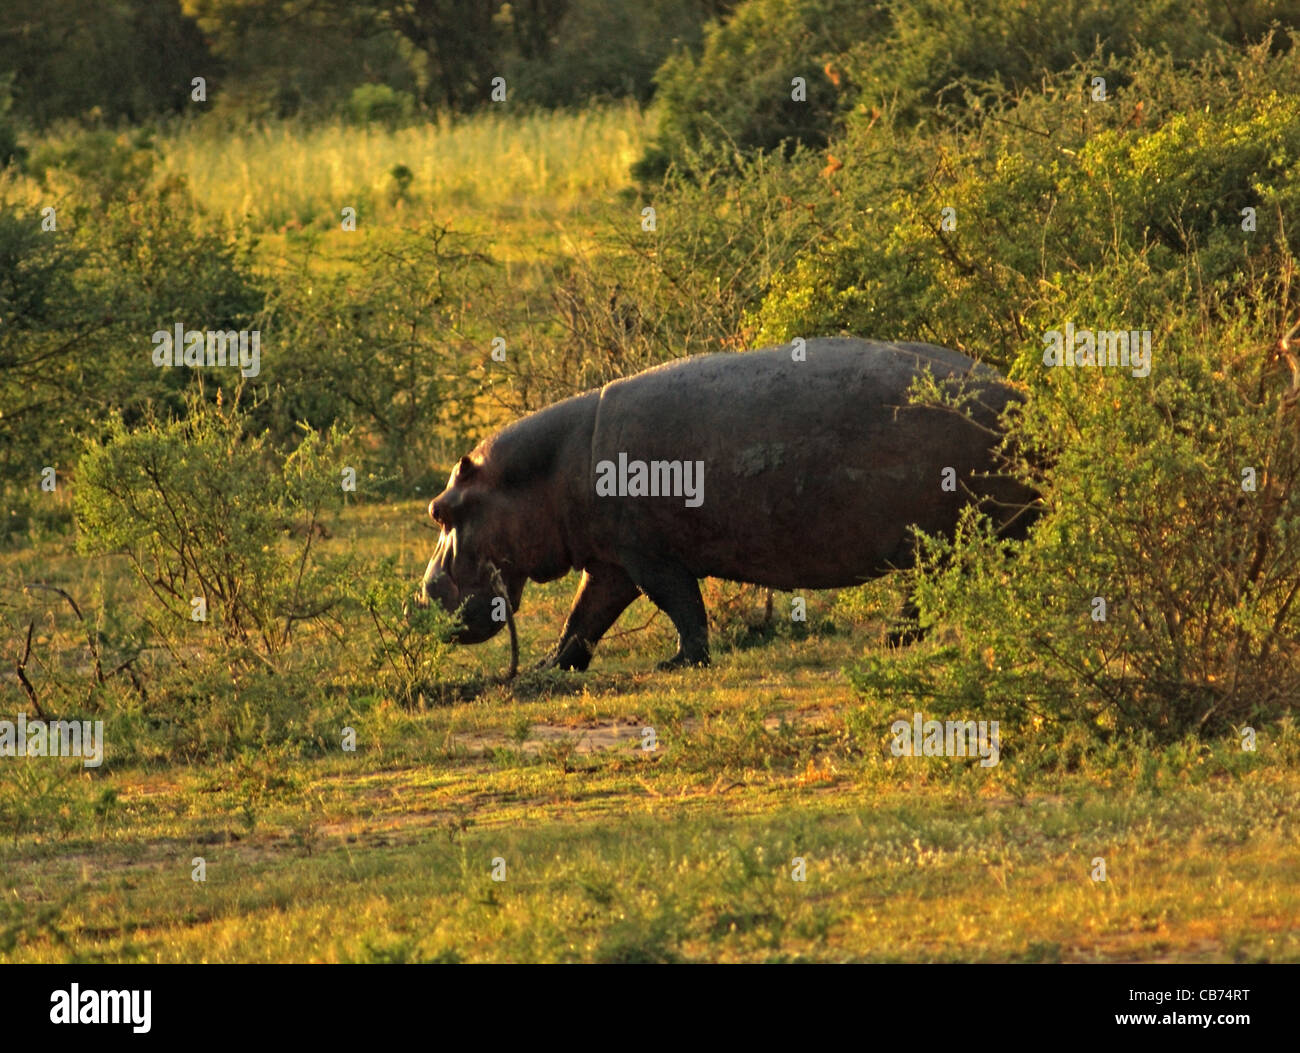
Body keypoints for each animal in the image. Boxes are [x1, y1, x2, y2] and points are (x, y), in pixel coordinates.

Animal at [416, 338, 1037, 670]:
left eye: (442, 510)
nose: (423, 595)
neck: (541, 473)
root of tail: (1023, 398)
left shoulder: (650, 557)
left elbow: (682, 607)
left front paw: (677, 663)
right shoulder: (613, 560)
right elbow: (584, 617)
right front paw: (551, 667)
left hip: (944, 537)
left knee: (925, 589)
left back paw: (894, 638)